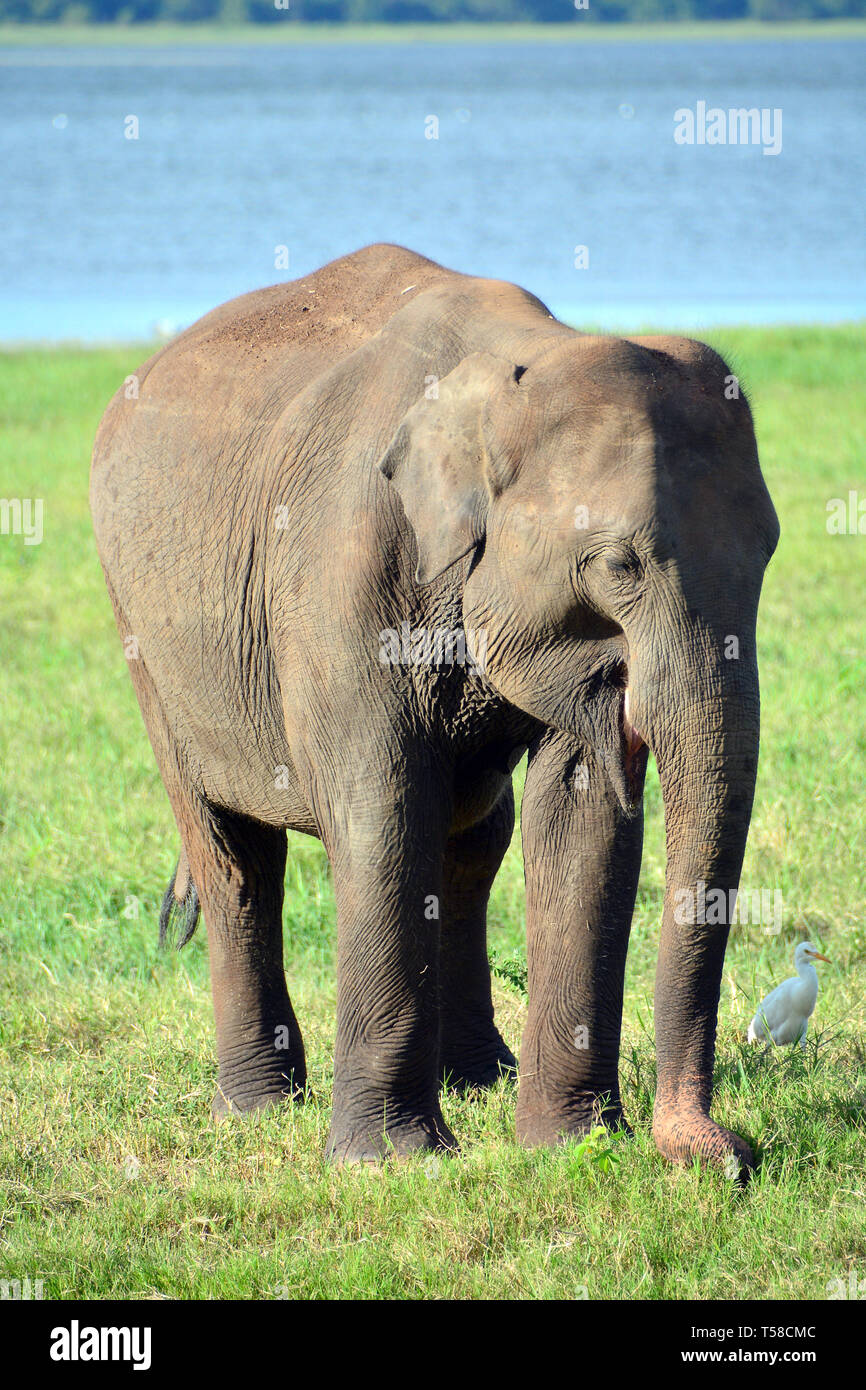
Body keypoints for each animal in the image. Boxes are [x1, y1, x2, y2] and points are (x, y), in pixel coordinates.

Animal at [90, 243, 779, 1171]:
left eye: (768, 554)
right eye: (619, 565)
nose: (731, 1154)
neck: (517, 366)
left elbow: (582, 817)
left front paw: (571, 1147)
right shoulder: (340, 573)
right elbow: (384, 811)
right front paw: (391, 1160)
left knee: (473, 841)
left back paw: (480, 1078)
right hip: (146, 637)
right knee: (234, 855)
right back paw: (259, 1109)